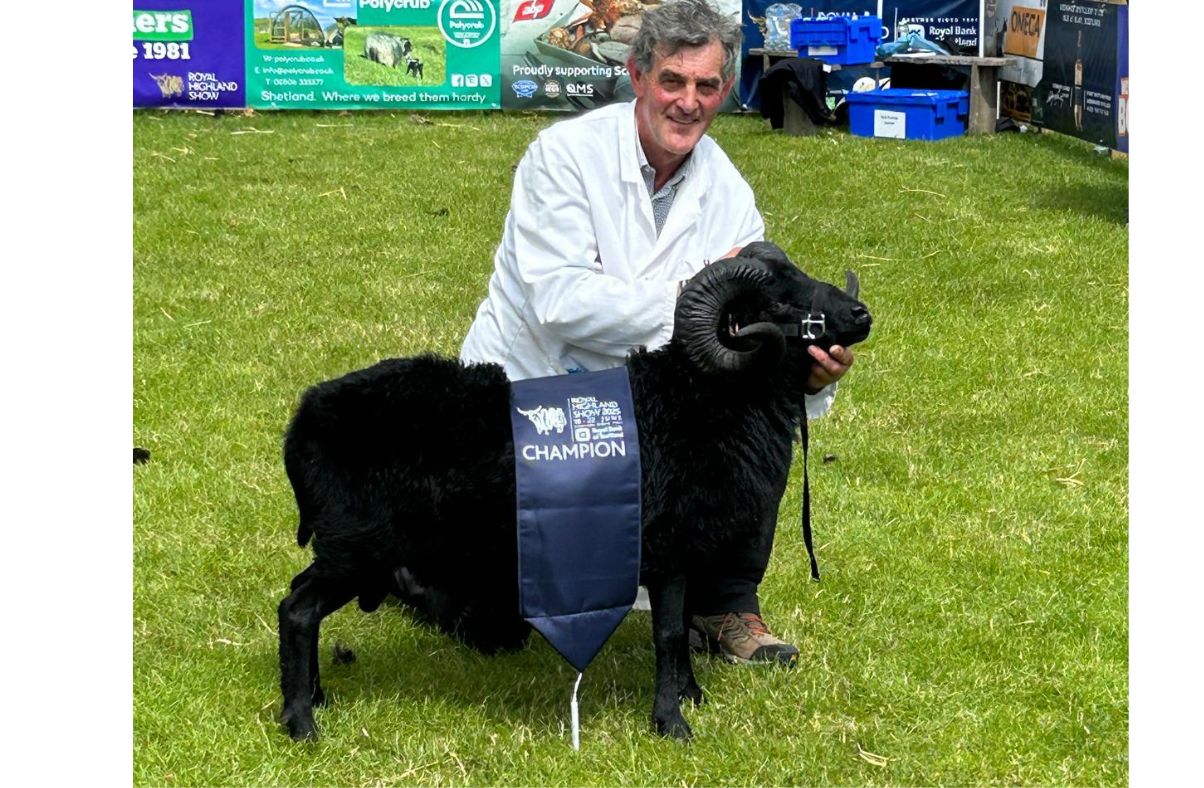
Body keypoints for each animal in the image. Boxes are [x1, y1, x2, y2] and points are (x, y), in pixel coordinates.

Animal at [277, 241, 873, 742]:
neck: (699, 398)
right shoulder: (670, 555)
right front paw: (671, 724)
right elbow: (669, 635)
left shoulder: (687, 555)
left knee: (302, 603)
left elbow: (681, 631)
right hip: (356, 545)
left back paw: (314, 699)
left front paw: (691, 696)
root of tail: (304, 416)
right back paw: (302, 723)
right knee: (298, 611)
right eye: (779, 301)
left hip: (352, 550)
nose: (861, 315)